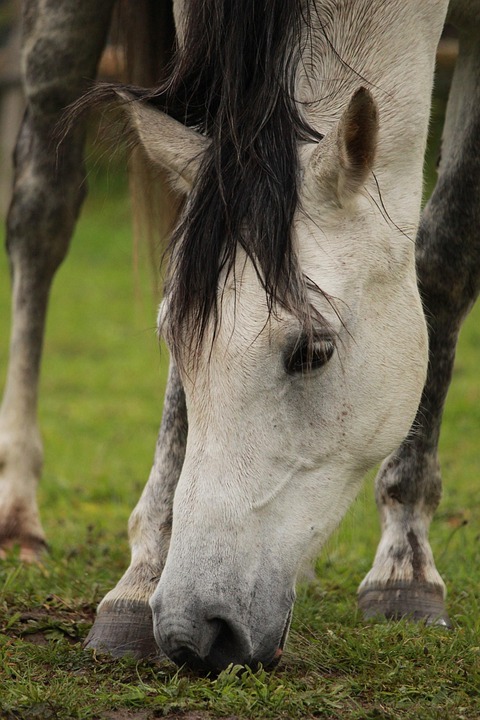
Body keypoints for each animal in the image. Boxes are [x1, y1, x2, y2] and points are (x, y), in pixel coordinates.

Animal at [0, 0, 479, 672]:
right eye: (172, 341)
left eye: (313, 352)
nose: (193, 631)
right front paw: (140, 582)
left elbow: (448, 254)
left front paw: (404, 566)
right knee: (41, 212)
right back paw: (17, 511)